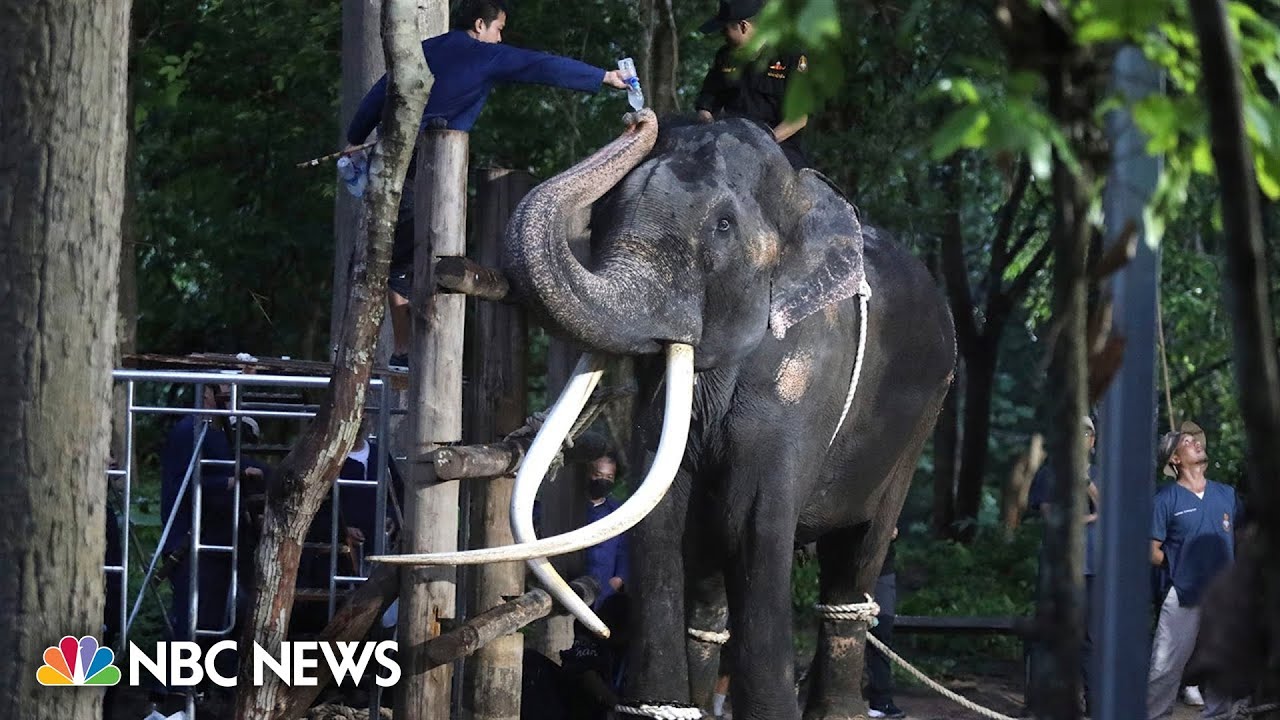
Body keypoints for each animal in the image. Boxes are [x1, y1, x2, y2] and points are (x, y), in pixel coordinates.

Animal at [375, 109, 956, 720]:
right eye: (603, 218)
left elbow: (755, 523)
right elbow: (659, 514)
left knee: (857, 560)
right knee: (709, 576)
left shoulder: (807, 375)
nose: (641, 117)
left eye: (723, 226)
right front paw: (656, 708)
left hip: (918, 427)